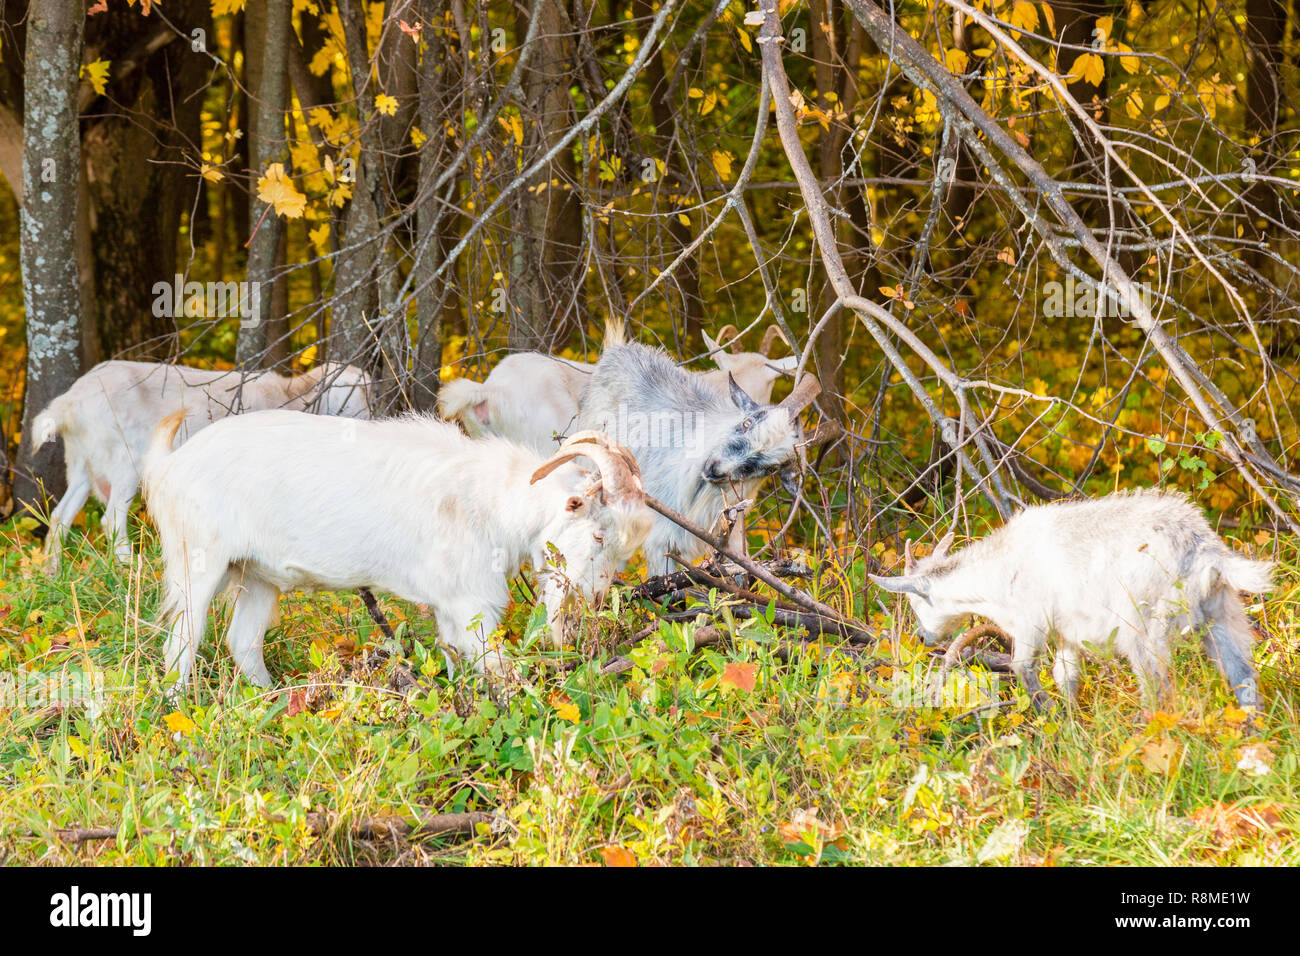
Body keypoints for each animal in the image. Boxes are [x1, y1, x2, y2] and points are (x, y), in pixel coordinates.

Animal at [31, 360, 371, 574]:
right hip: (125, 462)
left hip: (80, 464)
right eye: (355, 391)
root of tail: (70, 402)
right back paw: (131, 569)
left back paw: (52, 571)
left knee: (61, 516)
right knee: (111, 519)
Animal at [141, 410, 651, 691]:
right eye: (598, 535)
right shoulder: (474, 604)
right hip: (199, 564)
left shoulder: (450, 609)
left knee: (243, 643)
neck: (491, 502)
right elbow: (497, 669)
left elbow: (456, 661)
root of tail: (168, 466)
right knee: (181, 644)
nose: (594, 601)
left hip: (258, 577)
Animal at [869, 489, 1273, 711]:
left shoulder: (1032, 620)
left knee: (1157, 686)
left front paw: (1048, 713)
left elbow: (1023, 668)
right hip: (1221, 612)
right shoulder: (1067, 633)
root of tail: (1202, 550)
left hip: (1143, 623)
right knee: (1243, 675)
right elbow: (1067, 677)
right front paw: (1069, 722)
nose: (922, 638)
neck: (999, 571)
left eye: (917, 603)